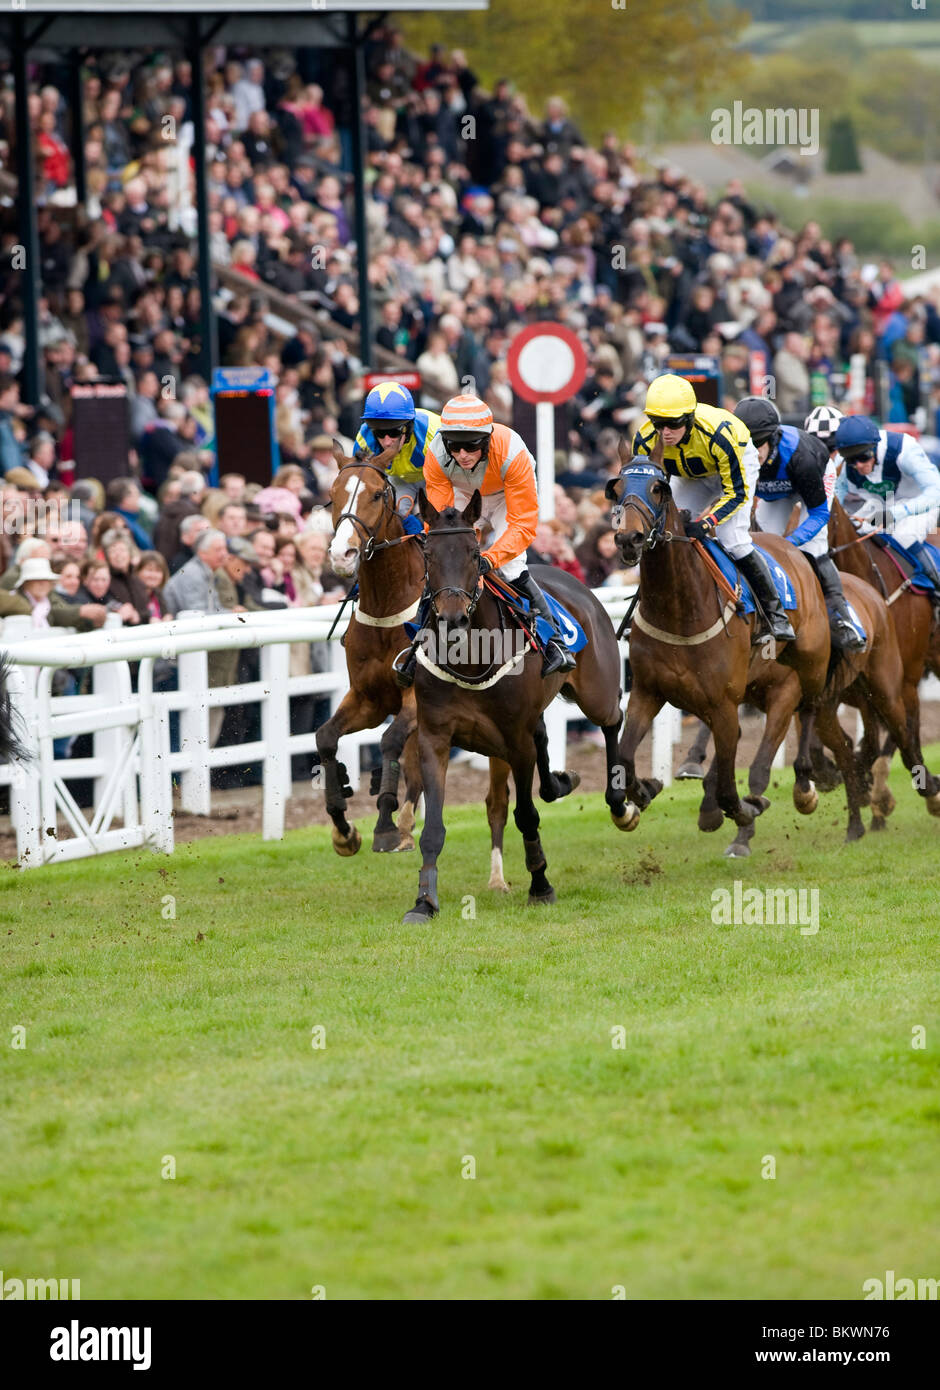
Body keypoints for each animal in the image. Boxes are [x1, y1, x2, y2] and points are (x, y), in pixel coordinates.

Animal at [403, 489, 622, 922]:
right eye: (428, 553)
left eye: (474, 552)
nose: (452, 619)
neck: (470, 657)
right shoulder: (434, 738)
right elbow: (433, 827)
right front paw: (424, 901)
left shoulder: (515, 743)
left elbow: (526, 814)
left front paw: (541, 884)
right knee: (545, 742)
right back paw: (562, 782)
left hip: (597, 693)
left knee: (613, 719)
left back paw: (623, 803)